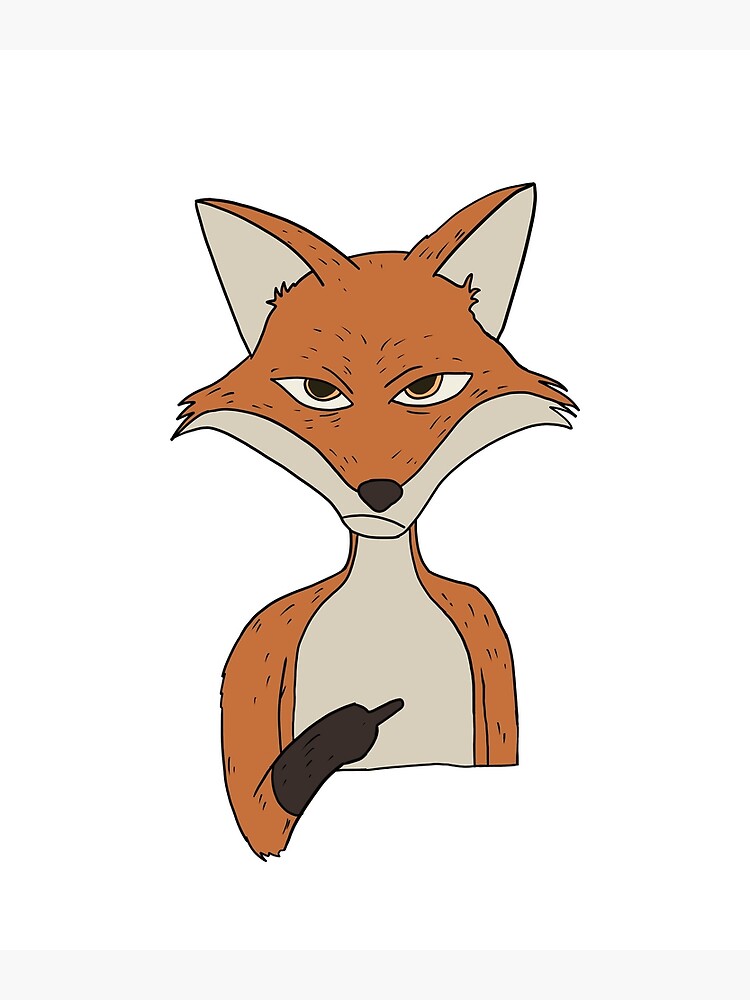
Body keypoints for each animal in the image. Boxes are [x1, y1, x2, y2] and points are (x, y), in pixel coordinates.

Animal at [174, 183, 576, 859]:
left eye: (427, 387)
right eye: (318, 392)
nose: (381, 492)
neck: (382, 607)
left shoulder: (492, 663)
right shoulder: (257, 674)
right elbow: (262, 811)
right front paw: (340, 737)